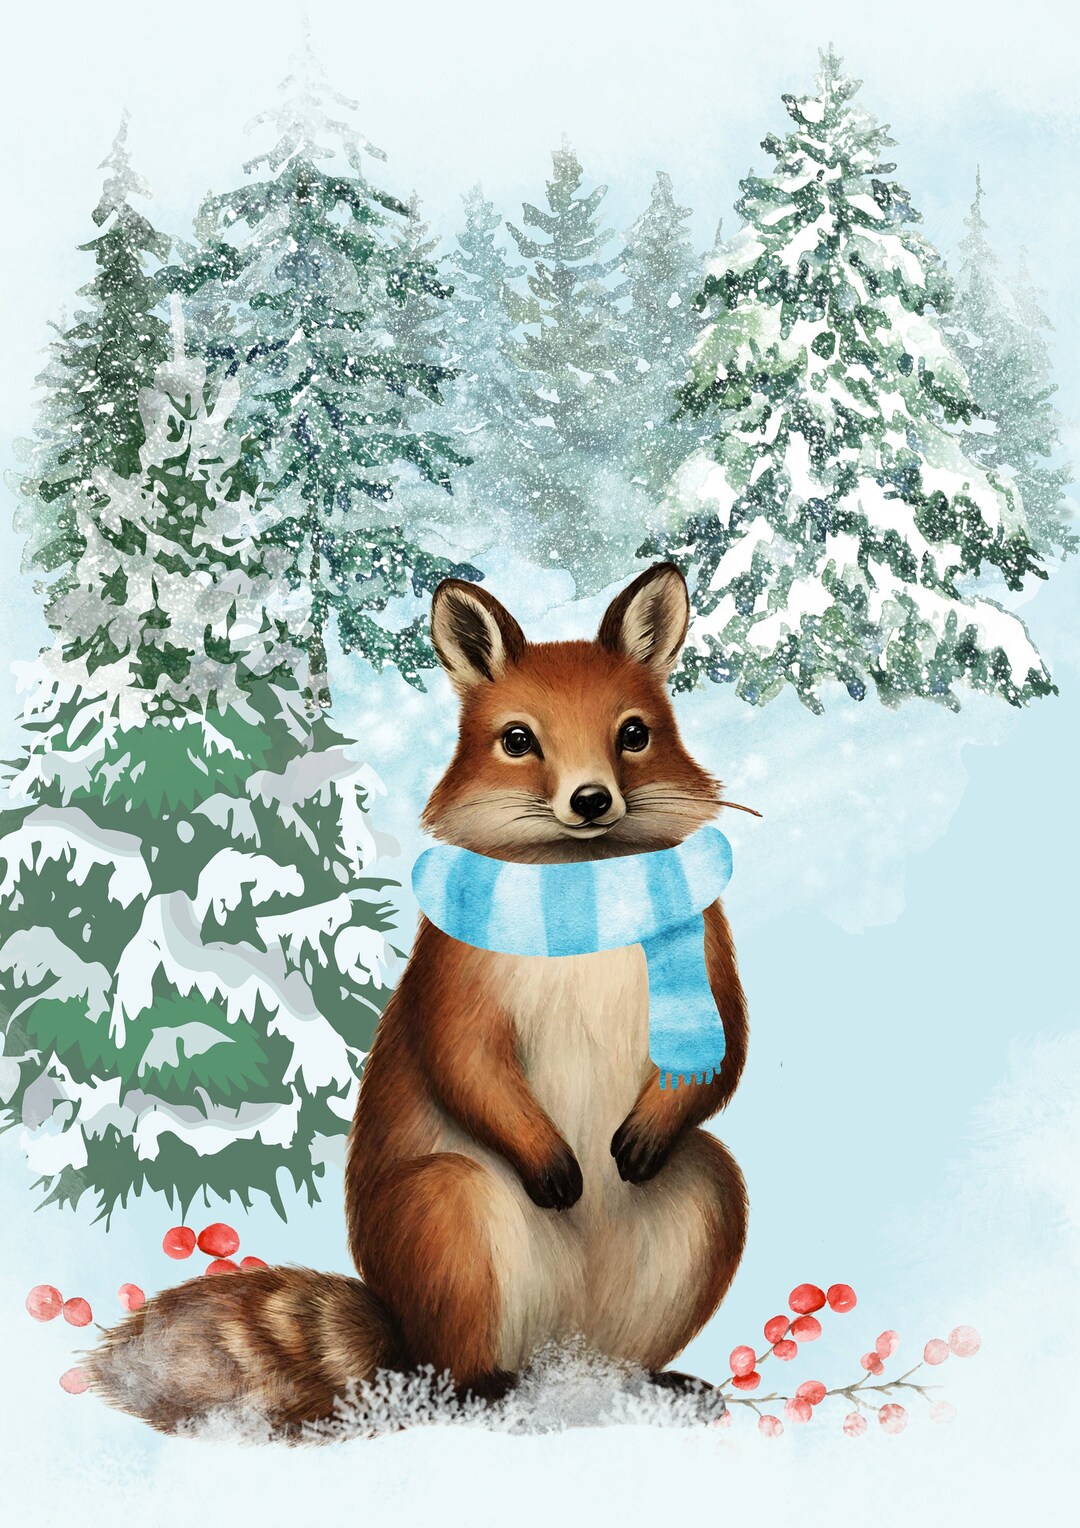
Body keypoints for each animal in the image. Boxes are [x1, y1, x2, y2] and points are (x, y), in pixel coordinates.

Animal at [85, 562, 749, 1435]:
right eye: (518, 739)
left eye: (634, 733)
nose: (591, 800)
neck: (581, 890)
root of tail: (560, 1353)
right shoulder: (456, 980)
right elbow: (462, 1060)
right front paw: (552, 1168)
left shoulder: (705, 961)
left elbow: (723, 1053)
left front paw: (643, 1134)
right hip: (448, 1206)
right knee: (452, 1363)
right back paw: (484, 1388)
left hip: (704, 1191)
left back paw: (645, 1382)